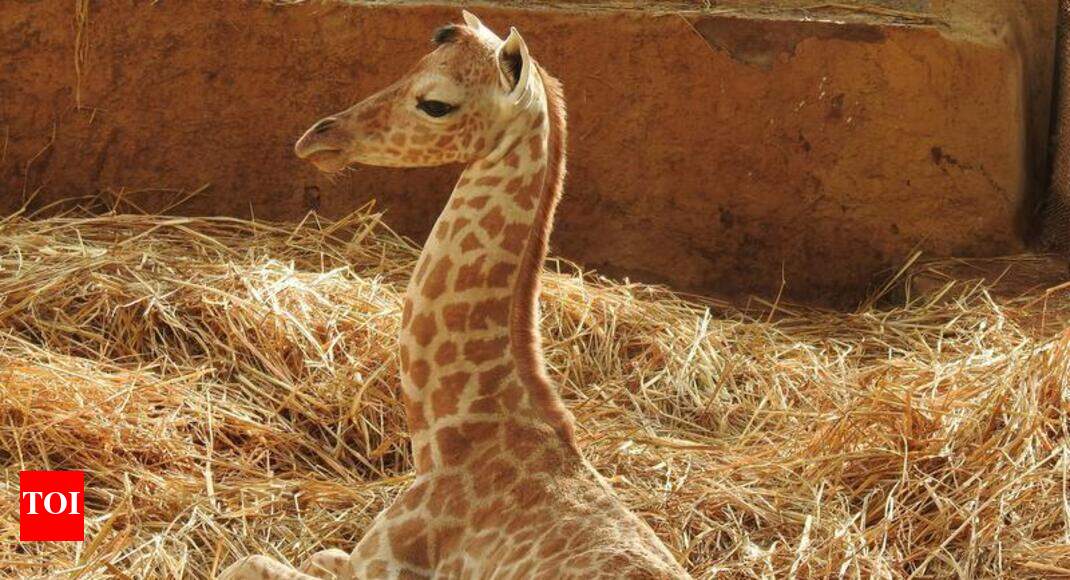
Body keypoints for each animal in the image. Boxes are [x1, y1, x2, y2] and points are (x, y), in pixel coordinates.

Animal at [219, 11, 691, 580]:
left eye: (436, 104)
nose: (316, 137)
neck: (454, 435)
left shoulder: (380, 564)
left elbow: (246, 561)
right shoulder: (354, 557)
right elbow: (319, 552)